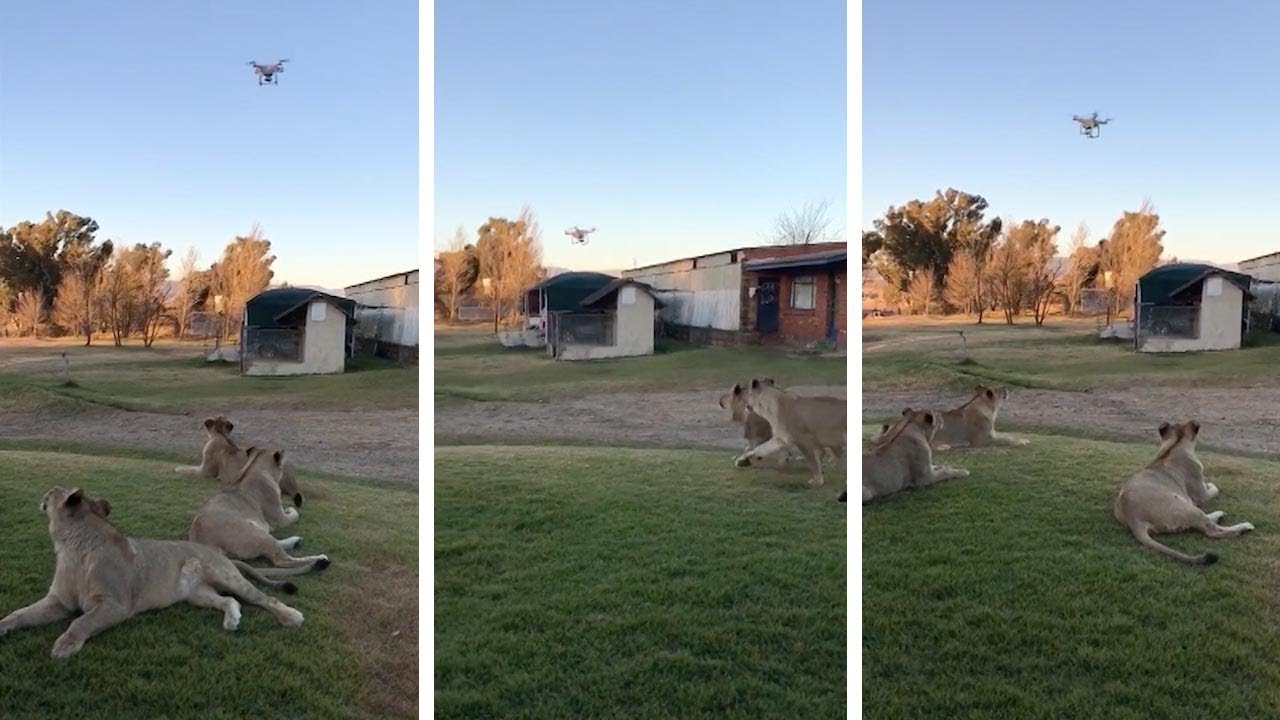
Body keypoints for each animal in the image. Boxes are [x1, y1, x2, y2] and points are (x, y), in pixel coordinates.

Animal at [0, 486, 304, 660]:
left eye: (55, 491)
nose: (47, 492)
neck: (72, 548)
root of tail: (219, 553)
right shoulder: (58, 601)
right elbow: (21, 614)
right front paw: (3, 625)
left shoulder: (116, 605)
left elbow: (81, 622)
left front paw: (65, 645)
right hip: (197, 594)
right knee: (229, 600)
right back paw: (232, 621)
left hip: (227, 577)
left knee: (263, 598)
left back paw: (291, 616)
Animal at [189, 447, 330, 573]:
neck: (253, 469)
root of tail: (205, 546)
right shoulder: (280, 519)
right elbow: (295, 514)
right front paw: (290, 508)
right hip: (255, 533)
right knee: (282, 560)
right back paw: (320, 558)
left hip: (259, 533)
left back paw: (296, 541)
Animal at [1113, 420, 1253, 565]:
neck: (1174, 445)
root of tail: (1134, 519)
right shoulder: (1200, 495)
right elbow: (1215, 489)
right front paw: (1210, 484)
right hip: (1186, 507)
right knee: (1212, 530)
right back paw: (1245, 526)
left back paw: (1220, 515)